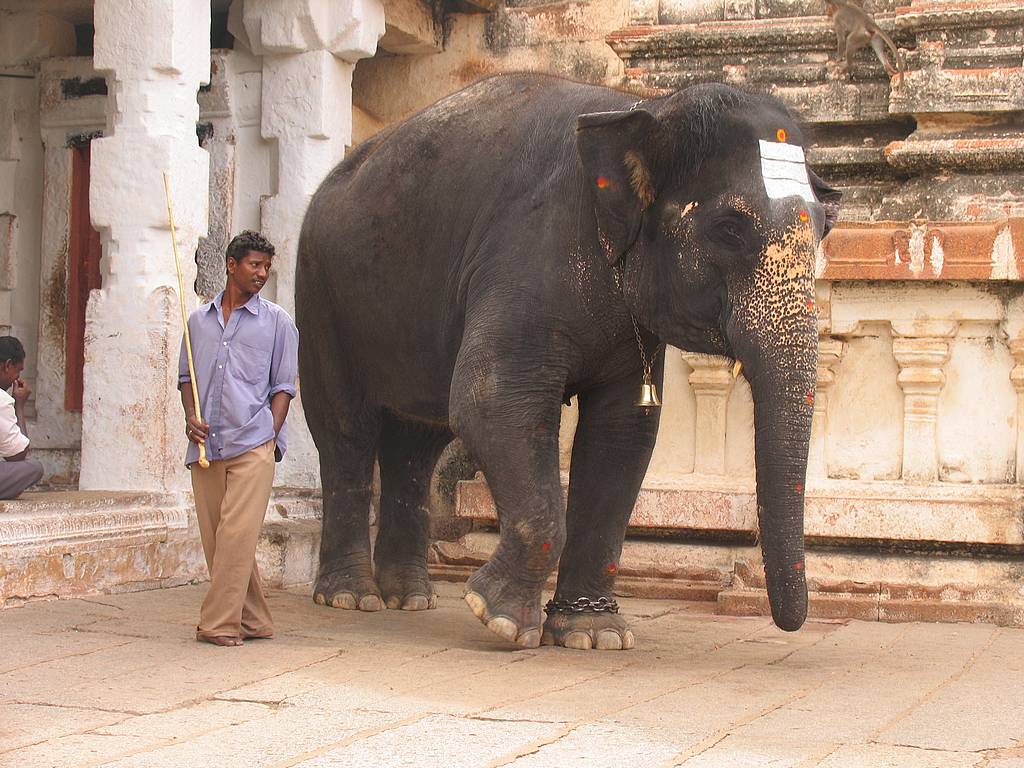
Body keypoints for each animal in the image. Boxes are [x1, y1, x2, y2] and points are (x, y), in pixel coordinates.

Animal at [295, 73, 841, 650]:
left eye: (825, 229)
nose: (788, 621)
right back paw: (352, 598)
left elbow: (622, 434)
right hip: (321, 293)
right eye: (730, 229)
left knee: (417, 443)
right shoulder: (527, 257)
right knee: (346, 431)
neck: (648, 108)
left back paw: (409, 598)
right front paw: (499, 618)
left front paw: (594, 635)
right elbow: (489, 401)